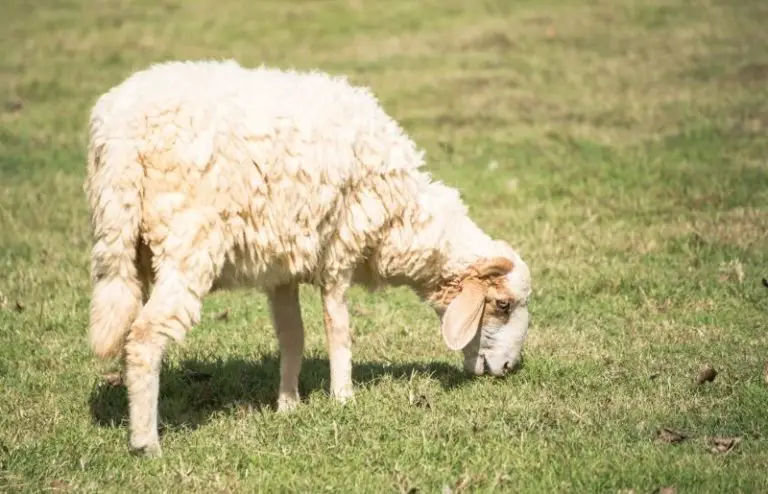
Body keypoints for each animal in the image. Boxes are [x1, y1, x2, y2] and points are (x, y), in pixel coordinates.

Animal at [85, 59, 533, 456]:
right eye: (503, 305)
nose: (510, 369)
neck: (403, 218)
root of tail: (120, 133)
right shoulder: (340, 249)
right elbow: (339, 329)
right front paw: (344, 397)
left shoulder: (281, 267)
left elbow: (292, 336)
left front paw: (288, 404)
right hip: (187, 240)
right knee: (145, 337)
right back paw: (146, 443)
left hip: (125, 244)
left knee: (128, 326)